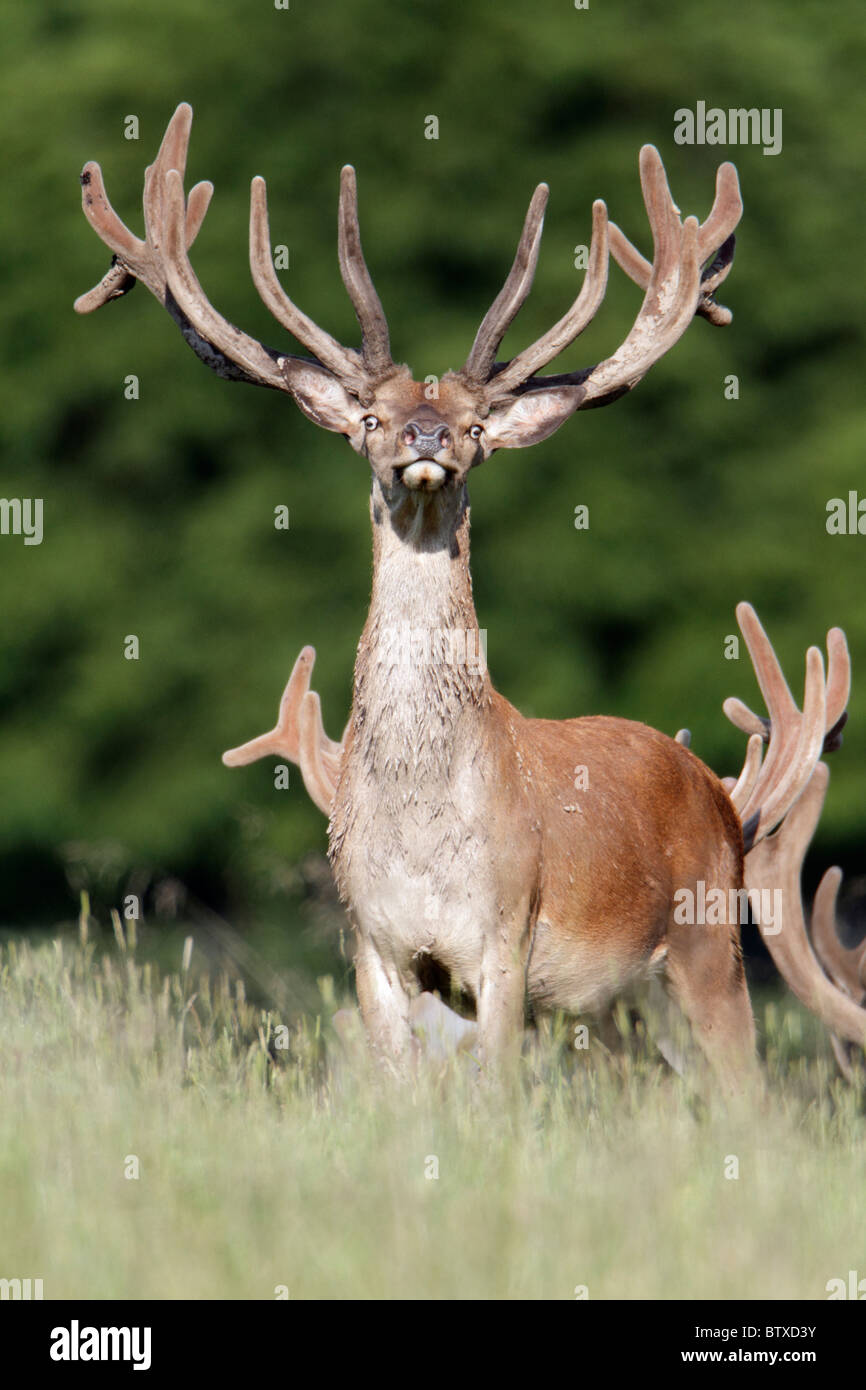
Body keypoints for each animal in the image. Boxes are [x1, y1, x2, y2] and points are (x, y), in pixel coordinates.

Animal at [75, 103, 866, 1093]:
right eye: (370, 416)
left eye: (477, 424)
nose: (424, 436)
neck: (421, 825)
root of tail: (720, 793)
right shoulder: (376, 946)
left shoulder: (504, 935)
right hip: (626, 1010)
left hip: (708, 945)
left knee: (746, 1094)